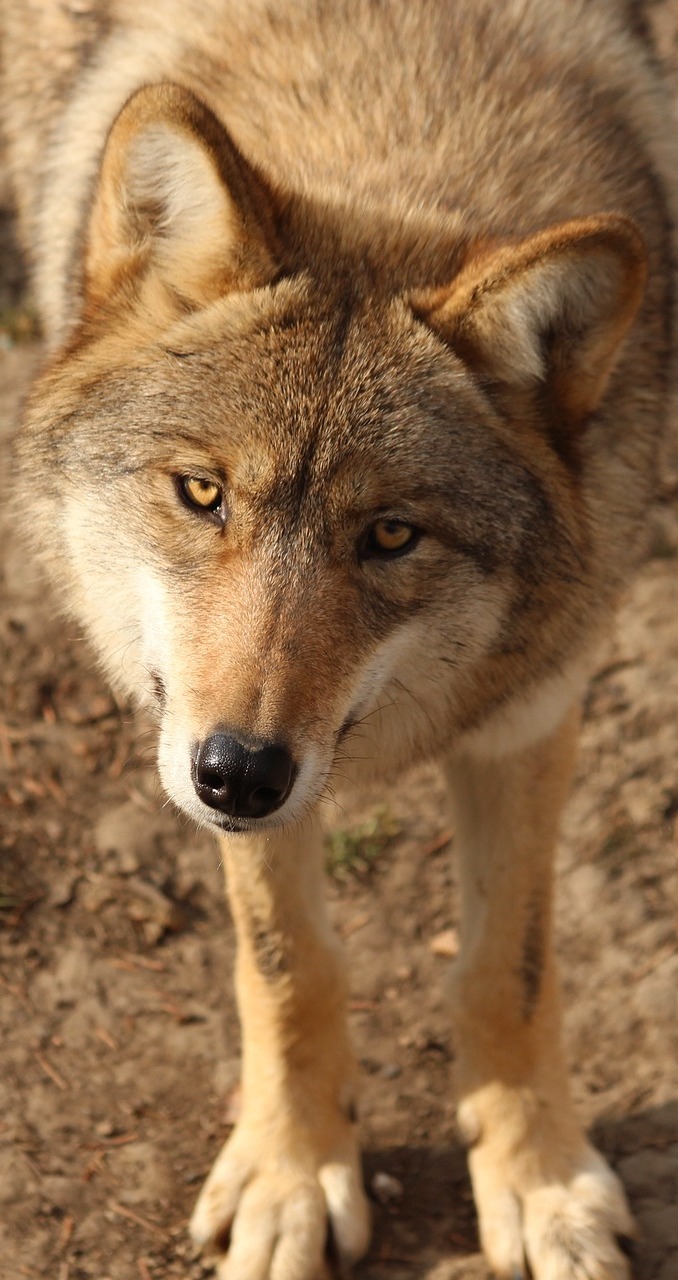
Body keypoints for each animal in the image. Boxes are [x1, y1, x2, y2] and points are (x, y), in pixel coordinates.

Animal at [1, 0, 673, 1276]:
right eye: (203, 492)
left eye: (392, 534)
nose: (242, 772)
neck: (388, 91)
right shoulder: (197, 735)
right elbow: (290, 964)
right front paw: (293, 1173)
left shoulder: (533, 706)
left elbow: (508, 970)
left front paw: (539, 1180)